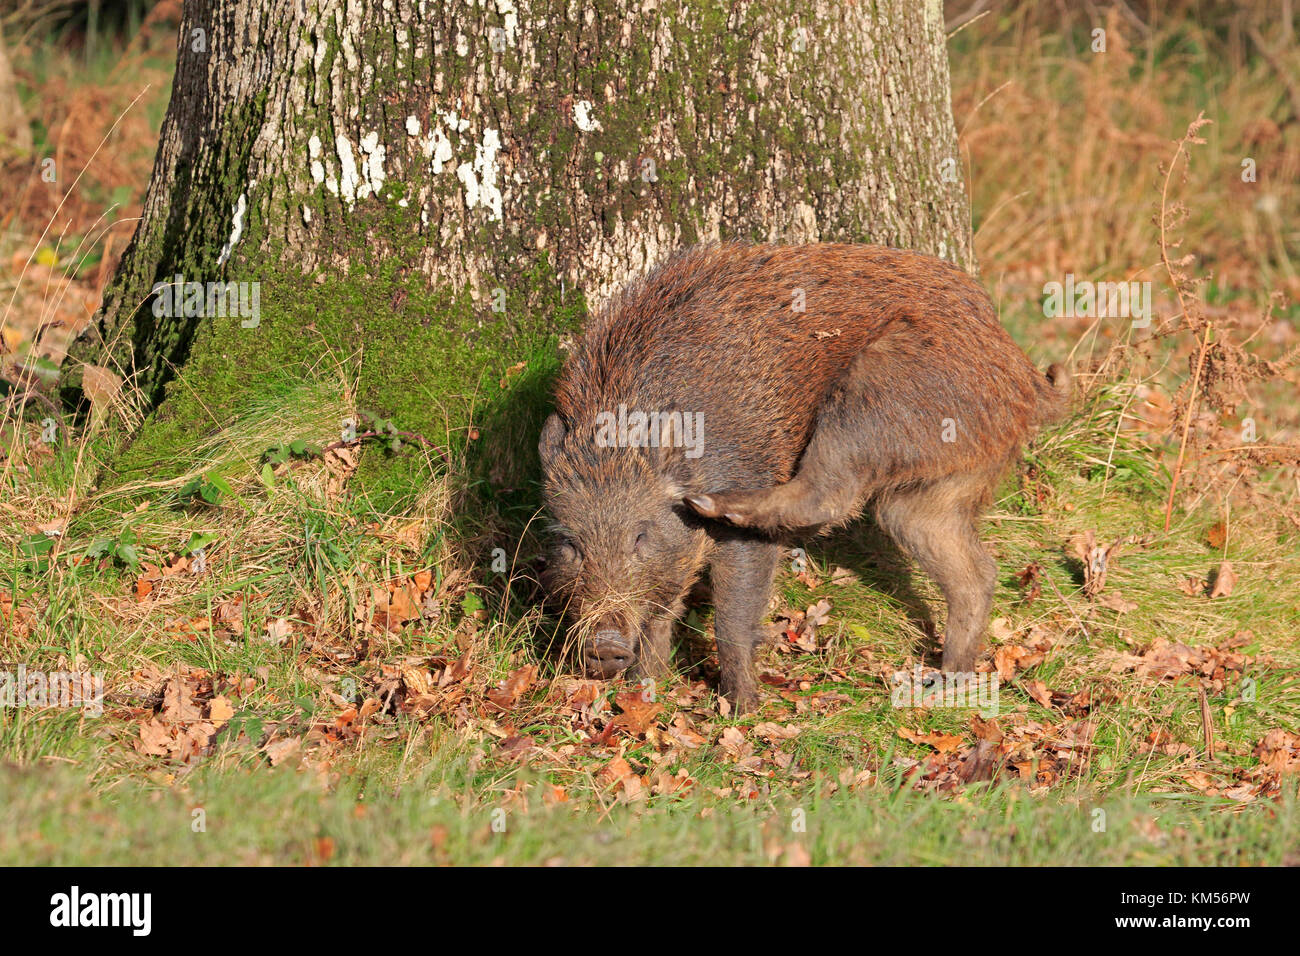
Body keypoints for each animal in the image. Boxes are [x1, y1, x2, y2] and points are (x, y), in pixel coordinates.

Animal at [539, 243, 1067, 712]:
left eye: (640, 536)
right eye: (569, 544)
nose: (604, 646)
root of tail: (1025, 378)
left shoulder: (745, 499)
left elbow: (731, 616)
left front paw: (742, 708)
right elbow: (660, 617)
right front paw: (645, 690)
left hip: (873, 394)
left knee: (831, 495)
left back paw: (718, 505)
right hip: (930, 492)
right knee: (974, 571)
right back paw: (949, 680)